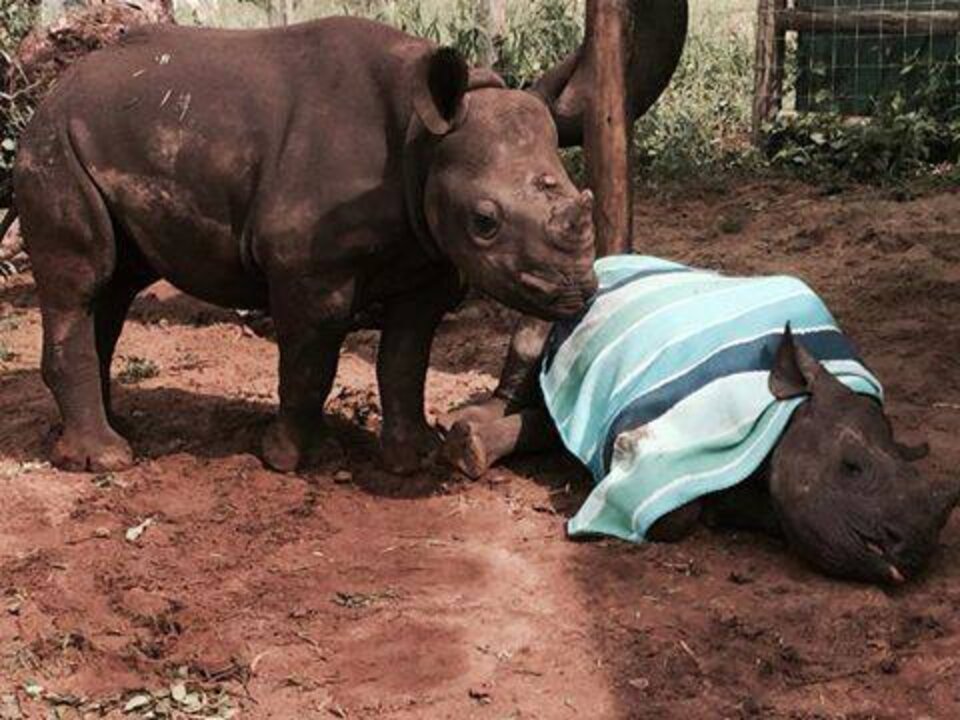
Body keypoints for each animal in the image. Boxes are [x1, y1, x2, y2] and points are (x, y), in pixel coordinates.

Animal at [7, 3, 689, 474]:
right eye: (485, 222)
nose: (575, 292)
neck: (423, 139)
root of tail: (50, 92)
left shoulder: (426, 258)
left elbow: (406, 357)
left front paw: (415, 456)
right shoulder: (308, 265)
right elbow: (313, 356)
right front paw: (294, 460)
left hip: (104, 134)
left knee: (115, 286)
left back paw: (109, 428)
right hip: (52, 145)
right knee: (82, 281)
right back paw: (106, 458)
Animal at [441, 257, 958, 585]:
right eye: (850, 467)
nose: (914, 551)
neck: (789, 411)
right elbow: (675, 516)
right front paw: (716, 510)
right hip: (553, 297)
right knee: (532, 334)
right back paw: (464, 437)